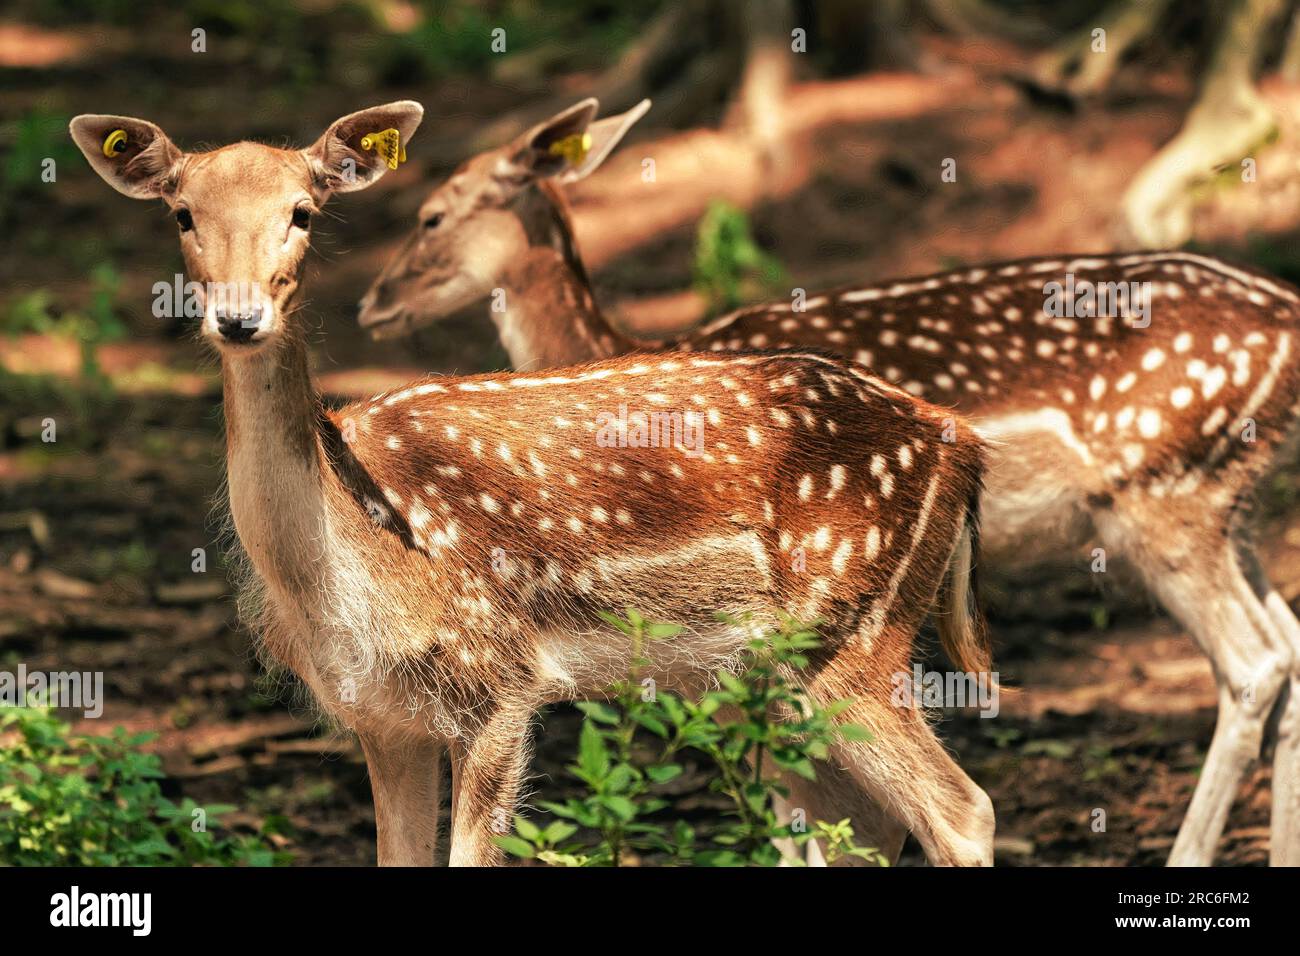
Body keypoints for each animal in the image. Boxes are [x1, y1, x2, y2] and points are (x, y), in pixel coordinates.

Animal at [70, 105, 998, 867]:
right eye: (183, 213)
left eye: (303, 211)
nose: (238, 318)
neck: (346, 569)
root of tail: (960, 446)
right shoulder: (380, 714)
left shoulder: (501, 680)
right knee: (862, 824)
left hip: (852, 626)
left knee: (963, 811)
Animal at [357, 96, 1300, 867]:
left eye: (431, 213)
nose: (369, 304)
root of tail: (1287, 314)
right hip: (1231, 503)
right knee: (1287, 640)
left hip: (1162, 496)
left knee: (1253, 661)